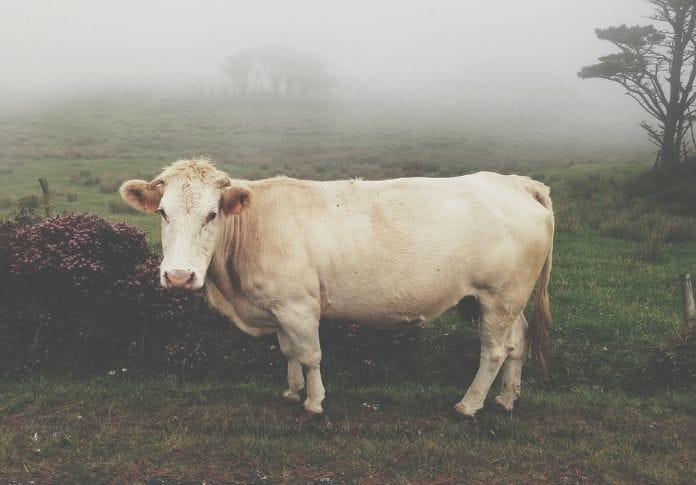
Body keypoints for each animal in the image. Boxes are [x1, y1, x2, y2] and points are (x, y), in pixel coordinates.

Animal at [120, 158, 554, 419]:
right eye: (163, 212)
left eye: (212, 214)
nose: (178, 276)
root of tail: (515, 182)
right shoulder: (279, 308)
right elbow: (289, 352)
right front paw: (292, 392)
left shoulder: (298, 307)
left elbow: (311, 355)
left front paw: (313, 402)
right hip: (504, 301)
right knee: (517, 342)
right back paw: (506, 398)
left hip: (499, 296)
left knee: (494, 351)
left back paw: (469, 404)